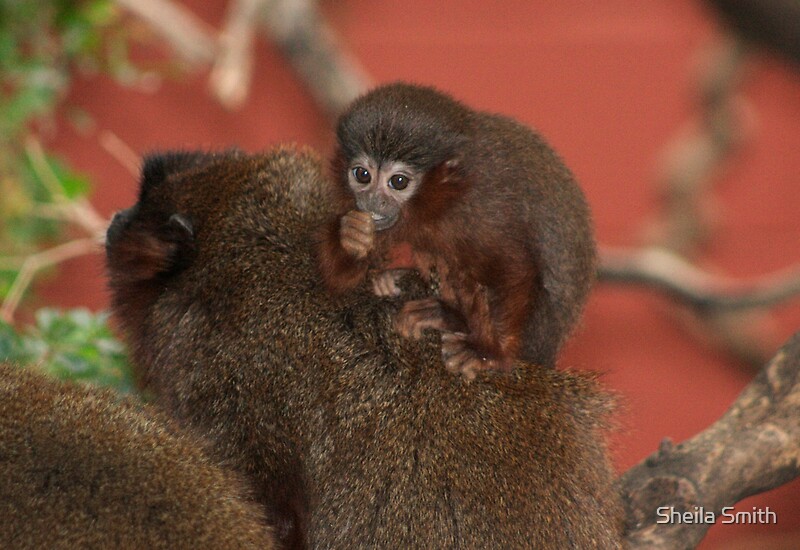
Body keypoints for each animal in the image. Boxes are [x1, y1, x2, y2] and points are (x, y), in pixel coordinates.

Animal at [317, 82, 597, 379]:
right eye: (362, 175)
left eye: (398, 181)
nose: (372, 200)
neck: (445, 198)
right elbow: (338, 283)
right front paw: (352, 237)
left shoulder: (480, 211)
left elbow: (514, 269)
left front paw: (492, 355)